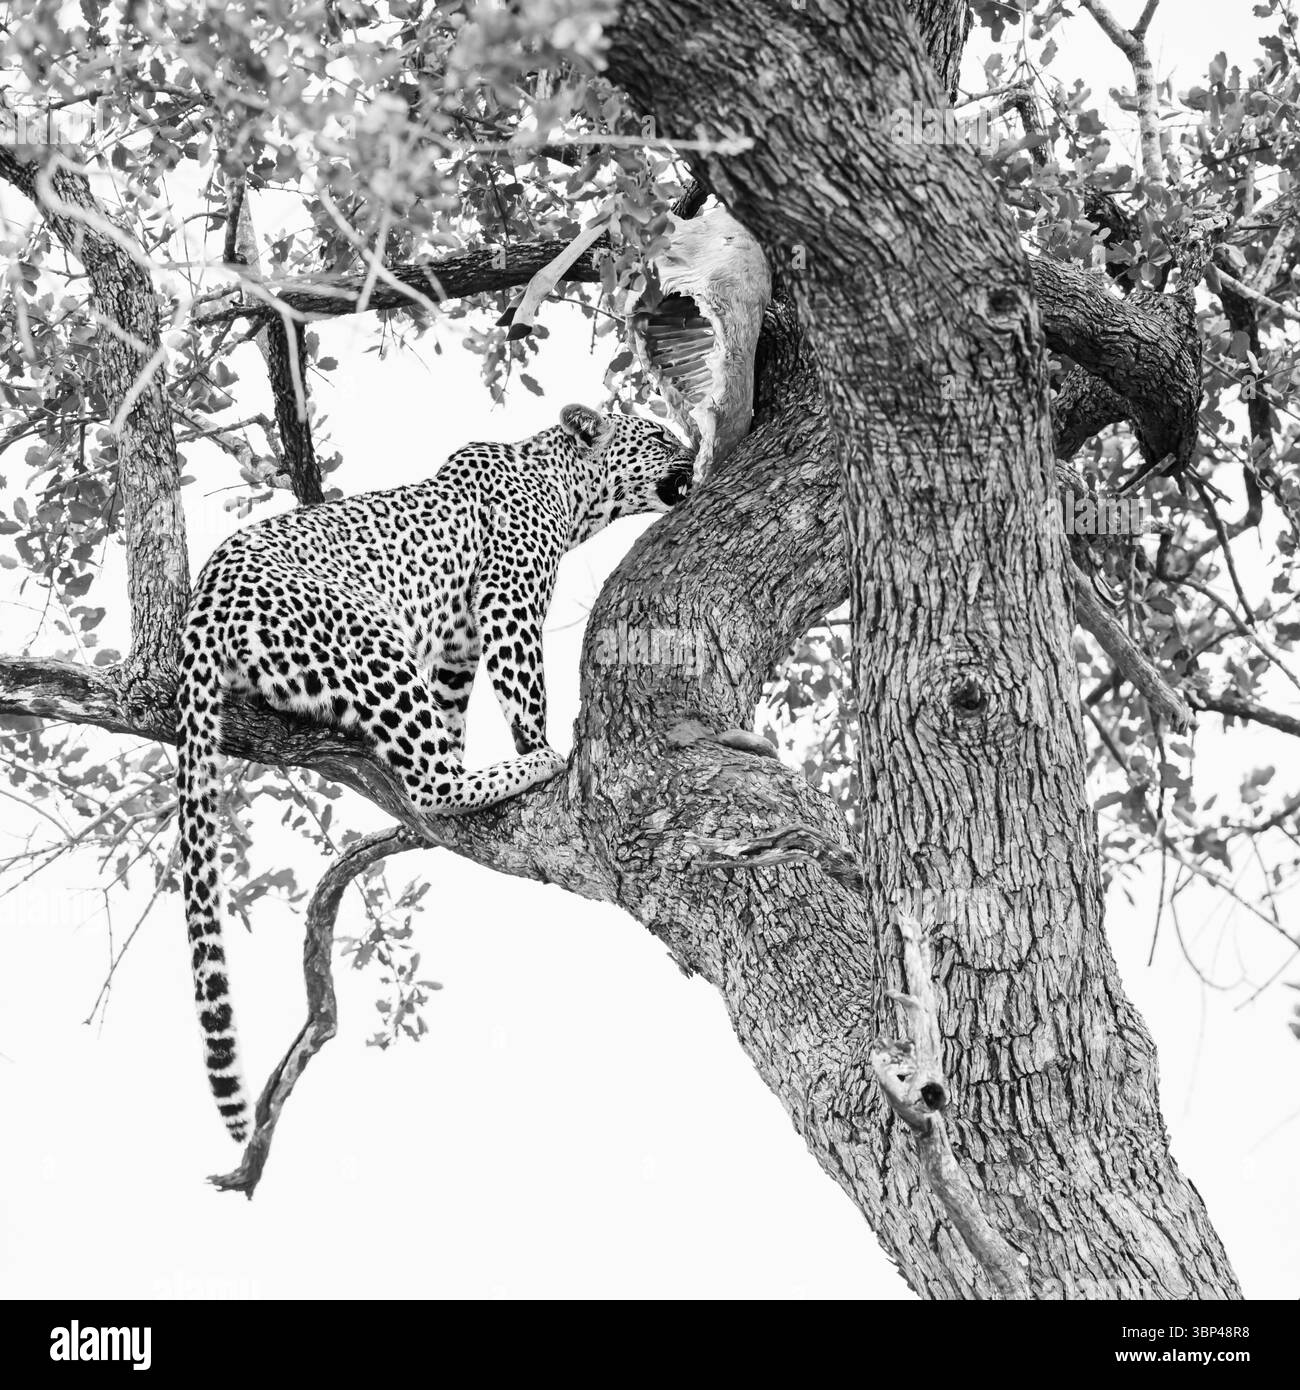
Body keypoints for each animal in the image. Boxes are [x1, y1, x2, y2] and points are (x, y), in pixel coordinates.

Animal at [176, 404, 695, 1145]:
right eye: (656, 437)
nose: (694, 453)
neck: (564, 488)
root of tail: (205, 606)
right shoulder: (509, 600)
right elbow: (524, 690)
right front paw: (541, 745)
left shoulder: (455, 646)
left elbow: (454, 707)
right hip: (371, 639)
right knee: (430, 783)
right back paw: (528, 766)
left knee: (429, 764)